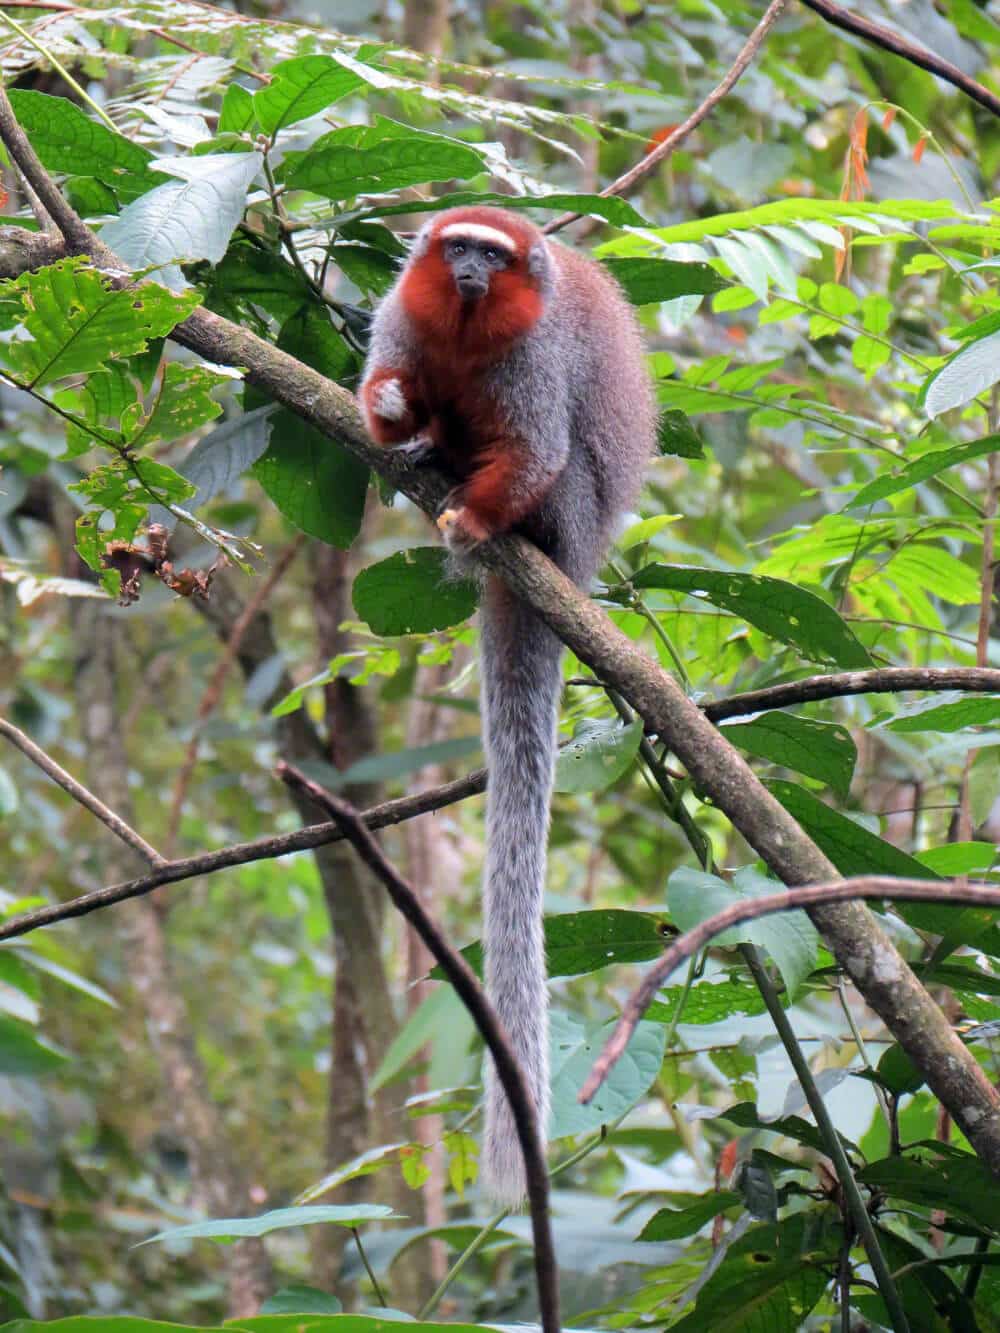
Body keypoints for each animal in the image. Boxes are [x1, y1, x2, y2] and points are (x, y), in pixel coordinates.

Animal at [360, 205, 656, 1205]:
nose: (472, 274)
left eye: (494, 255)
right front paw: (393, 414)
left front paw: (479, 520)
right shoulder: (400, 318)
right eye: (458, 249)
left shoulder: (535, 363)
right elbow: (385, 389)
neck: (465, 331)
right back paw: (429, 451)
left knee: (553, 477)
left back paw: (495, 527)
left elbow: (539, 450)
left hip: (573, 522)